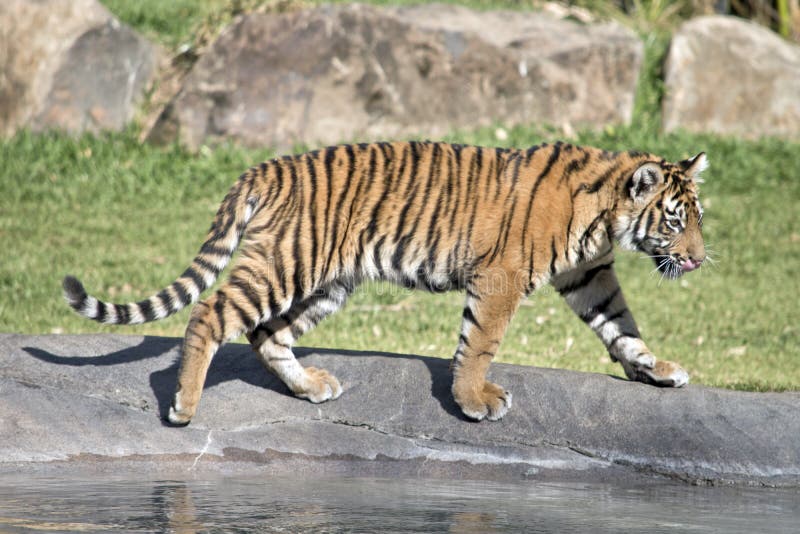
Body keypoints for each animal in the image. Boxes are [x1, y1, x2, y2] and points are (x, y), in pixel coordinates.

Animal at [63, 140, 708, 426]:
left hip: (326, 282)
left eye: (698, 217)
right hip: (288, 263)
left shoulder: (590, 277)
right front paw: (474, 401)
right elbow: (480, 344)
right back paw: (185, 406)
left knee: (267, 335)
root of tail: (266, 167)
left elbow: (623, 328)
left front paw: (658, 370)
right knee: (212, 314)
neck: (604, 219)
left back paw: (310, 387)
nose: (701, 261)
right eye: (676, 220)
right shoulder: (500, 280)